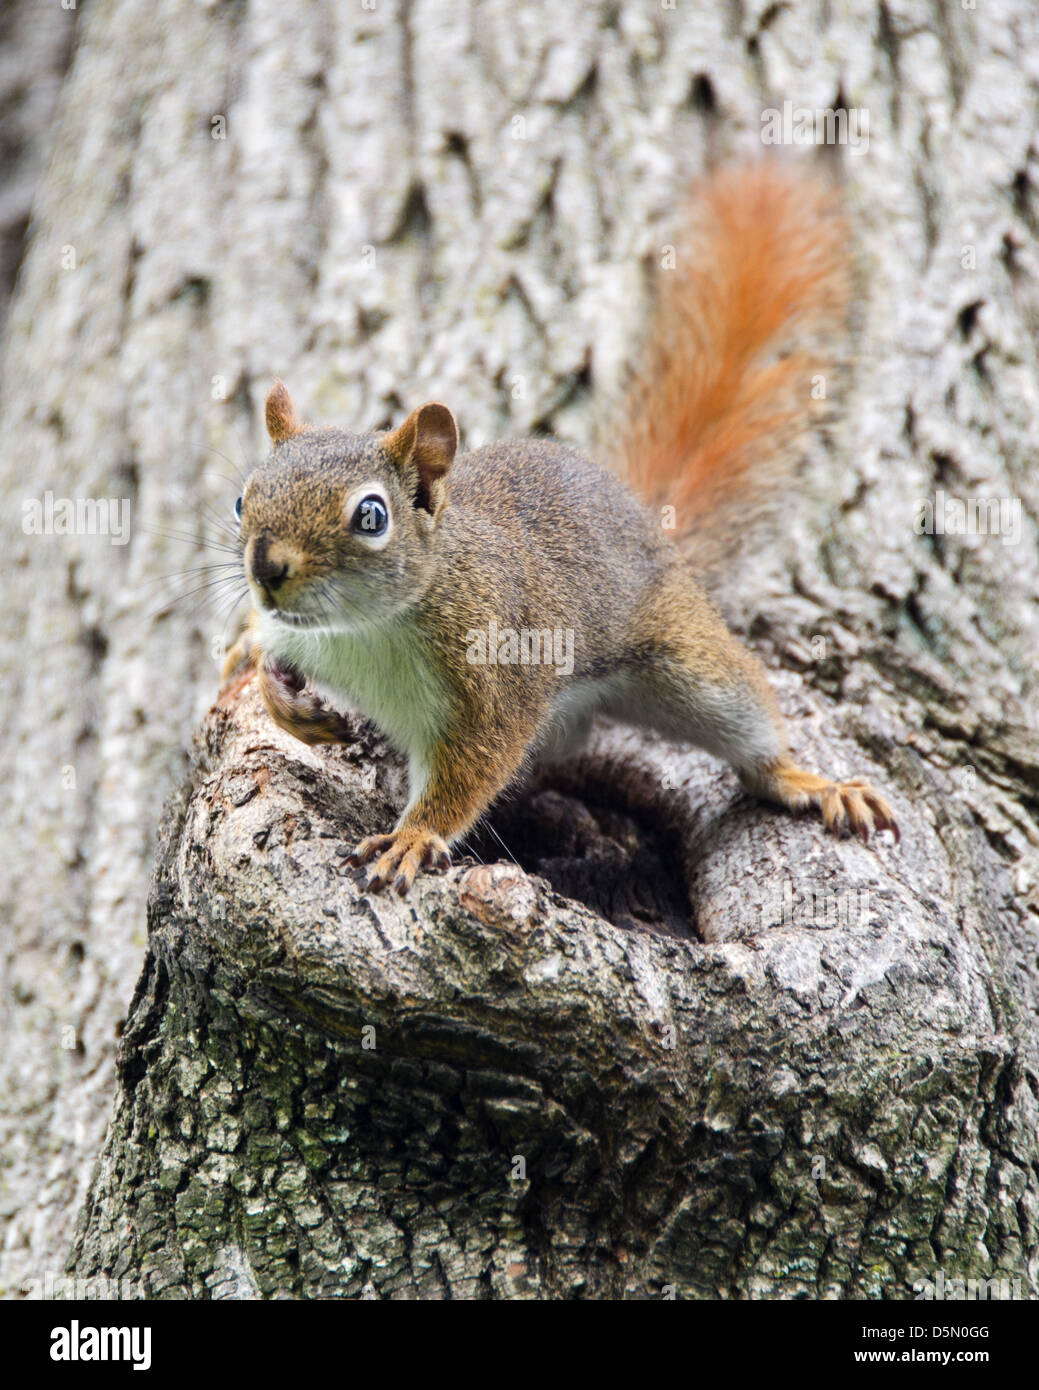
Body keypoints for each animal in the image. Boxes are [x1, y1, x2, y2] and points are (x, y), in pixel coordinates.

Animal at [222, 162, 898, 895]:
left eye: (371, 515)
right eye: (240, 499)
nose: (265, 569)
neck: (361, 630)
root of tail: (645, 519)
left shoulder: (498, 679)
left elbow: (473, 770)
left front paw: (413, 837)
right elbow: (267, 655)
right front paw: (279, 694)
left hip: (690, 666)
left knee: (750, 735)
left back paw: (810, 782)